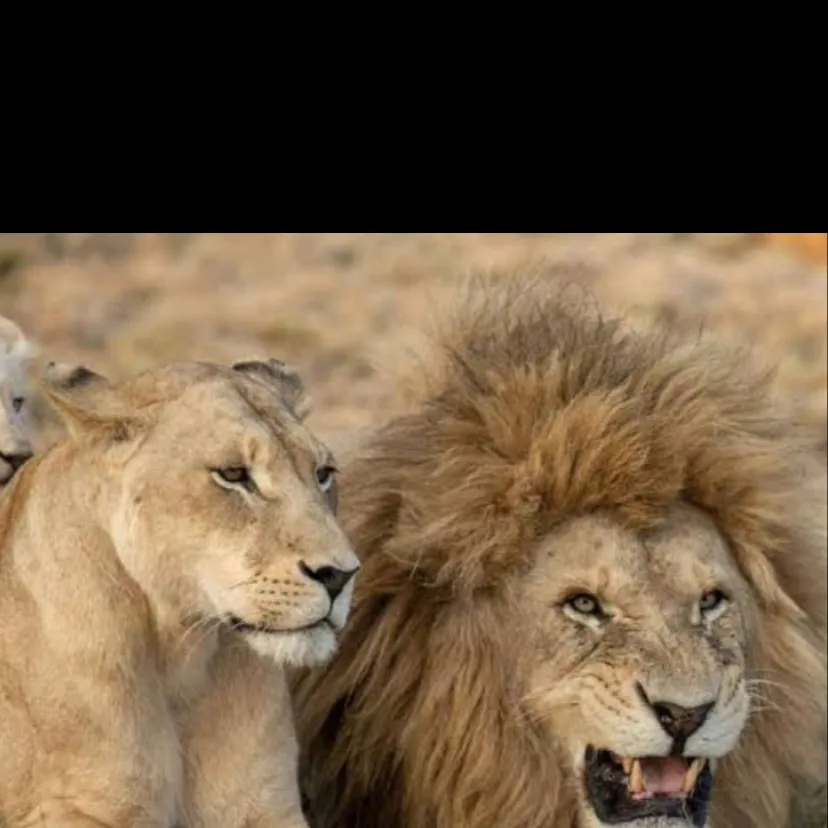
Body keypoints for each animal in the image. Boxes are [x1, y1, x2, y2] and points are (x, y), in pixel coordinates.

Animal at [0, 356, 360, 827]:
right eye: (233, 474)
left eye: (323, 475)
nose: (341, 575)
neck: (181, 661)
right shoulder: (79, 809)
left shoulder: (265, 805)